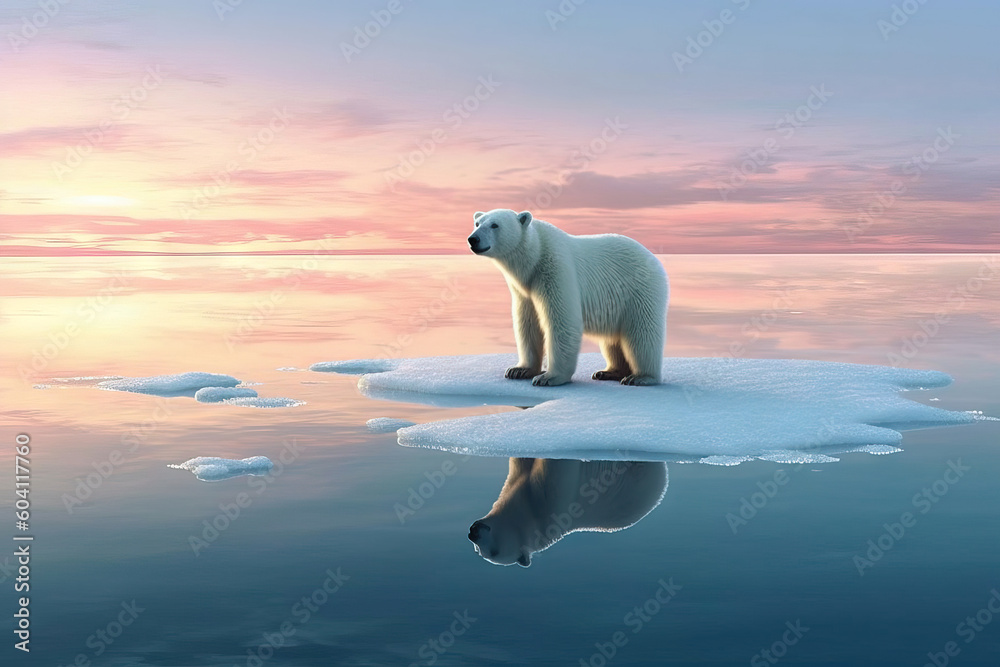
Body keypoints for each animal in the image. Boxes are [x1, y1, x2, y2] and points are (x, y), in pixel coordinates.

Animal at [467, 209, 668, 386]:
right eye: (477, 223)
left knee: (642, 333)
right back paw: (609, 371)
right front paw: (519, 370)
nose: (473, 239)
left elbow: (562, 321)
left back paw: (641, 377)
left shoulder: (555, 269)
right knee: (612, 339)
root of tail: (654, 258)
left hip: (639, 290)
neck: (534, 257)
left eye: (495, 225)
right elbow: (528, 323)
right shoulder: (524, 291)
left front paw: (548, 377)